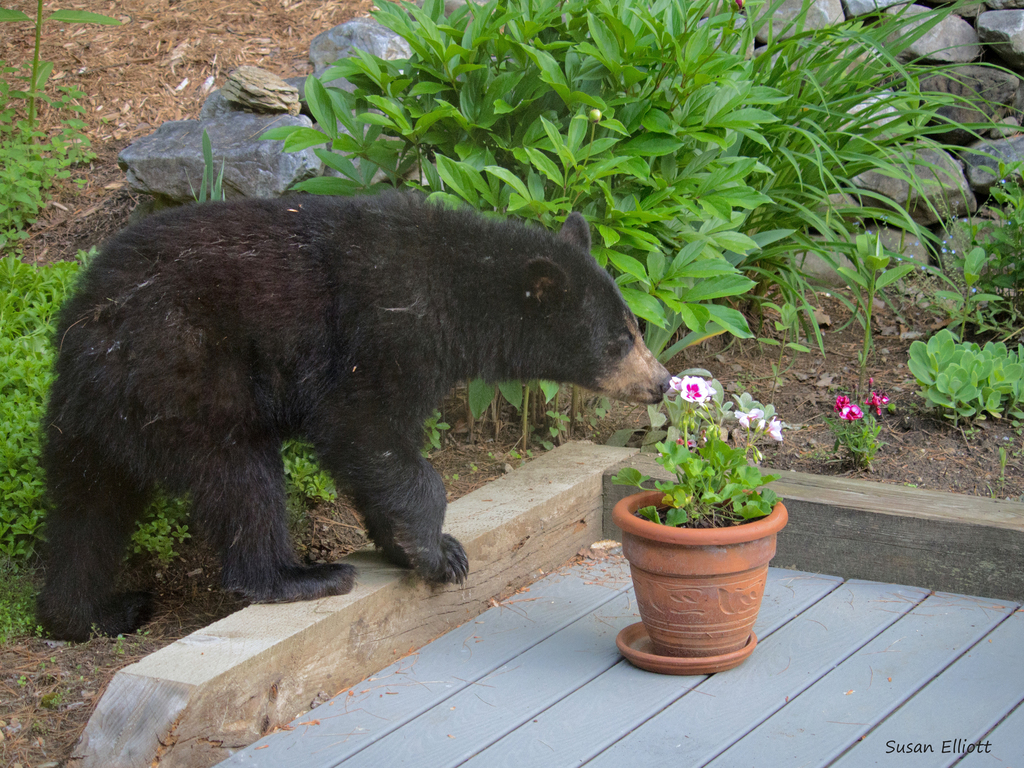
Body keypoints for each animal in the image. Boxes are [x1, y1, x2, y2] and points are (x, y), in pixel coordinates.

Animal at [37, 191, 670, 641]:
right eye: (617, 339)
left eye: (635, 325)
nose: (662, 382)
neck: (455, 294)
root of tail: (88, 334)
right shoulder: (385, 336)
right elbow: (365, 430)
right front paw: (438, 554)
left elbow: (379, 456)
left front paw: (412, 546)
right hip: (191, 375)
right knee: (240, 480)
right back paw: (297, 576)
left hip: (90, 420)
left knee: (86, 511)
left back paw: (91, 612)